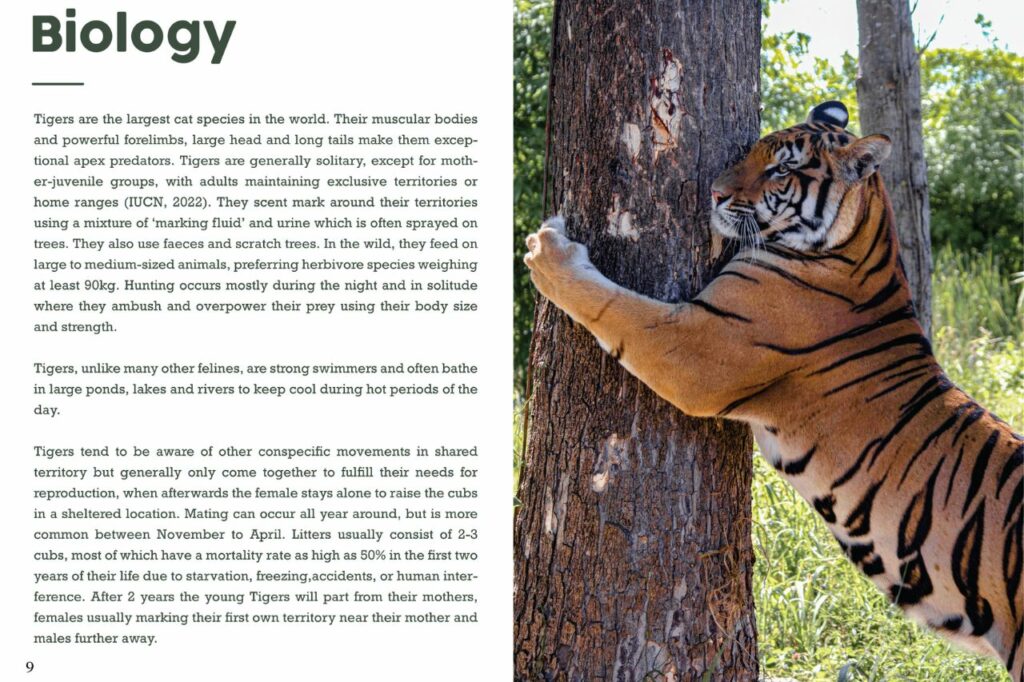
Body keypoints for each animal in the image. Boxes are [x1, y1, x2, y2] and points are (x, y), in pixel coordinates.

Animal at [523, 100, 1024, 678]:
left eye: (782, 170)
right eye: (751, 151)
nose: (714, 193)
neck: (864, 234)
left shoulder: (693, 349)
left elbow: (611, 305)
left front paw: (546, 250)